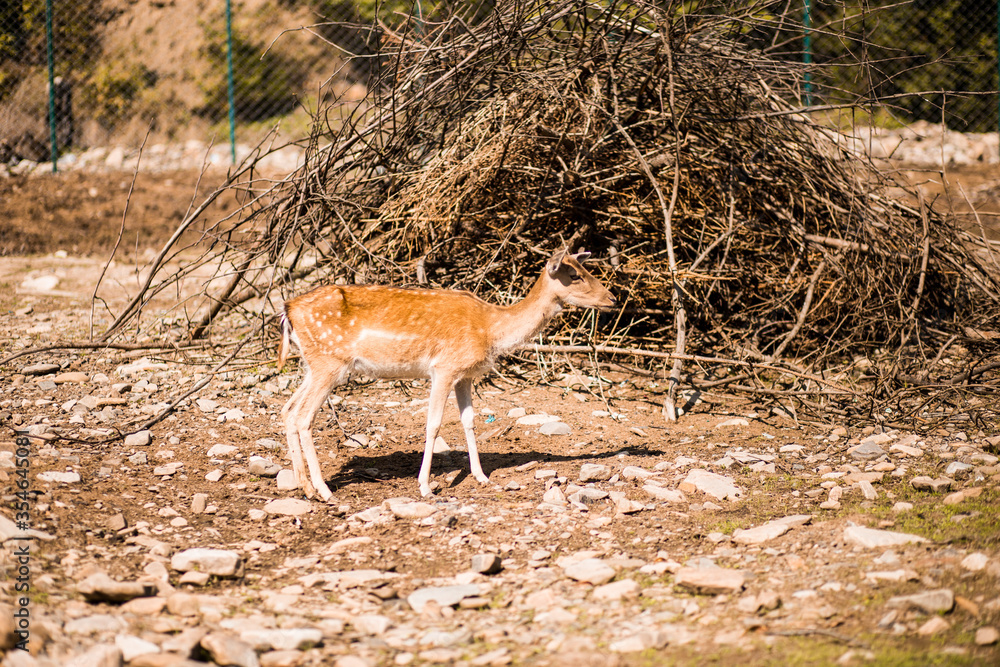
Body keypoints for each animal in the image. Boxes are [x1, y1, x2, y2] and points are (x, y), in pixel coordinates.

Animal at [276, 249, 616, 500]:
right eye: (574, 275)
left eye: (584, 269)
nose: (612, 298)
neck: (491, 329)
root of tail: (287, 310)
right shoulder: (444, 367)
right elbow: (434, 424)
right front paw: (425, 486)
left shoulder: (465, 374)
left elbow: (468, 420)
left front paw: (481, 476)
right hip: (329, 362)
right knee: (304, 416)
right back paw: (324, 491)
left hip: (313, 365)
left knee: (288, 409)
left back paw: (305, 488)